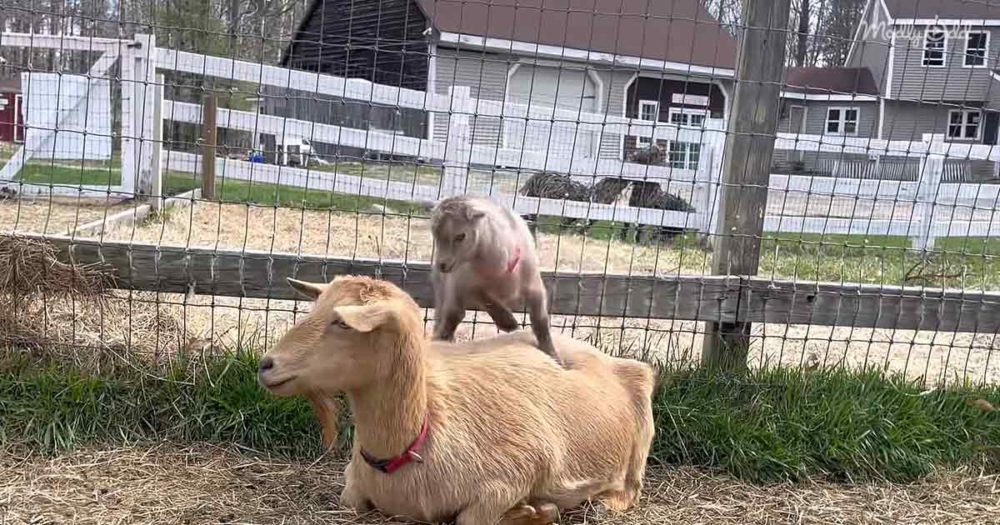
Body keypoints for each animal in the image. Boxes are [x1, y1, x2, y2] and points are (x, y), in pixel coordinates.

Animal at [258, 276, 656, 525]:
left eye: (342, 323)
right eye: (315, 309)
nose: (266, 364)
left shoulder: (518, 468)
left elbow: (470, 517)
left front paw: (534, 513)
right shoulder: (352, 481)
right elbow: (349, 500)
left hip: (641, 421)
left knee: (632, 486)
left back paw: (604, 505)